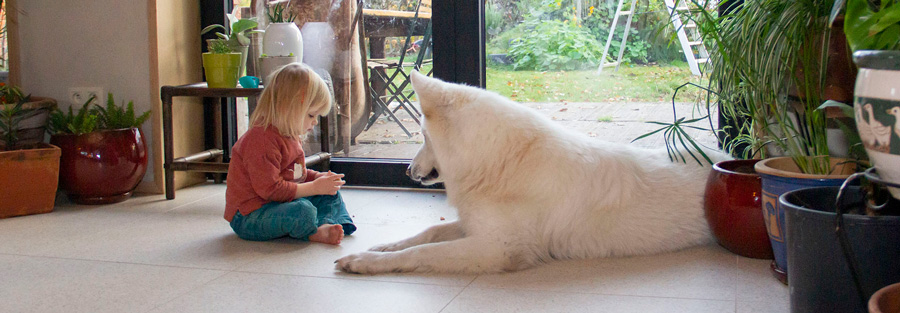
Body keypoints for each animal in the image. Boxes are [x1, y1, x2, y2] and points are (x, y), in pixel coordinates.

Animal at [338, 72, 732, 272]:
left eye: (422, 136)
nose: (406, 171)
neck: (499, 160)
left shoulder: (499, 249)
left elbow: (423, 253)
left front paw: (366, 261)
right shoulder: (477, 226)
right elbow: (427, 234)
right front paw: (384, 246)